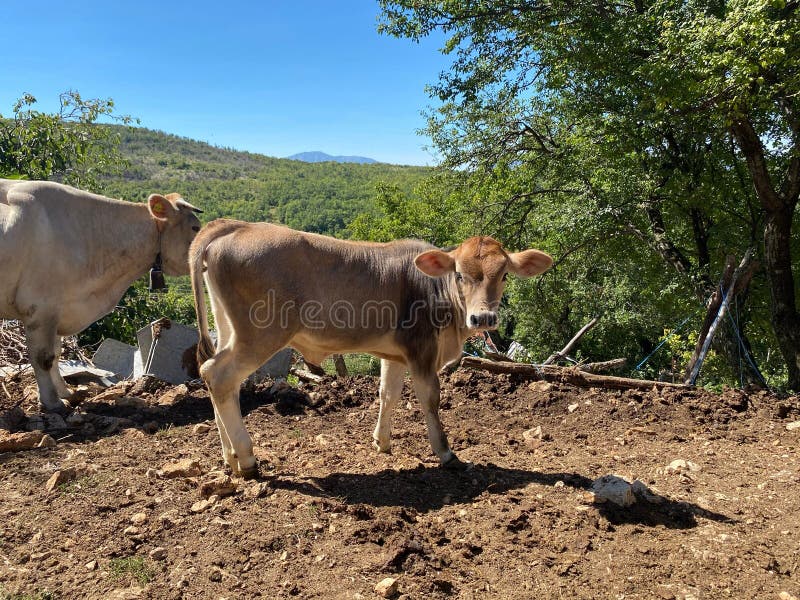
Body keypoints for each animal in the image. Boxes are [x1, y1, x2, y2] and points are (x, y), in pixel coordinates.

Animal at [0, 179, 202, 413]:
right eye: (195, 227)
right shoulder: (40, 306)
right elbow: (44, 358)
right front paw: (52, 402)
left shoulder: (60, 308)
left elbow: (57, 354)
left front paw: (66, 393)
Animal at [190, 219, 553, 478]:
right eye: (460, 275)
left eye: (504, 275)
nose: (484, 317)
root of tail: (237, 225)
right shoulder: (421, 349)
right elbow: (430, 399)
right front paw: (446, 453)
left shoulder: (396, 354)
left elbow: (388, 394)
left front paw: (383, 442)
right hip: (260, 333)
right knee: (219, 375)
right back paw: (248, 459)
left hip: (229, 328)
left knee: (219, 380)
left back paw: (230, 458)